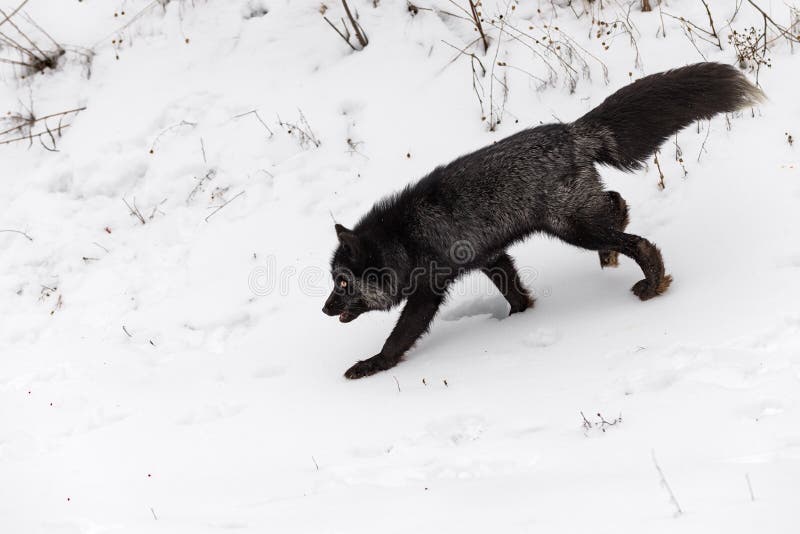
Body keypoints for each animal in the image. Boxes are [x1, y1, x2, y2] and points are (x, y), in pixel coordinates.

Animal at [322, 62, 764, 379]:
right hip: (578, 218)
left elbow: (398, 338)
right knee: (617, 206)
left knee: (636, 240)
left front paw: (373, 364)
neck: (402, 239)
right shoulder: (491, 256)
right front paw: (518, 320)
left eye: (342, 283)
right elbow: (515, 293)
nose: (325, 310)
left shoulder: (428, 290)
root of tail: (572, 132)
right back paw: (613, 253)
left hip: (572, 229)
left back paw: (652, 283)